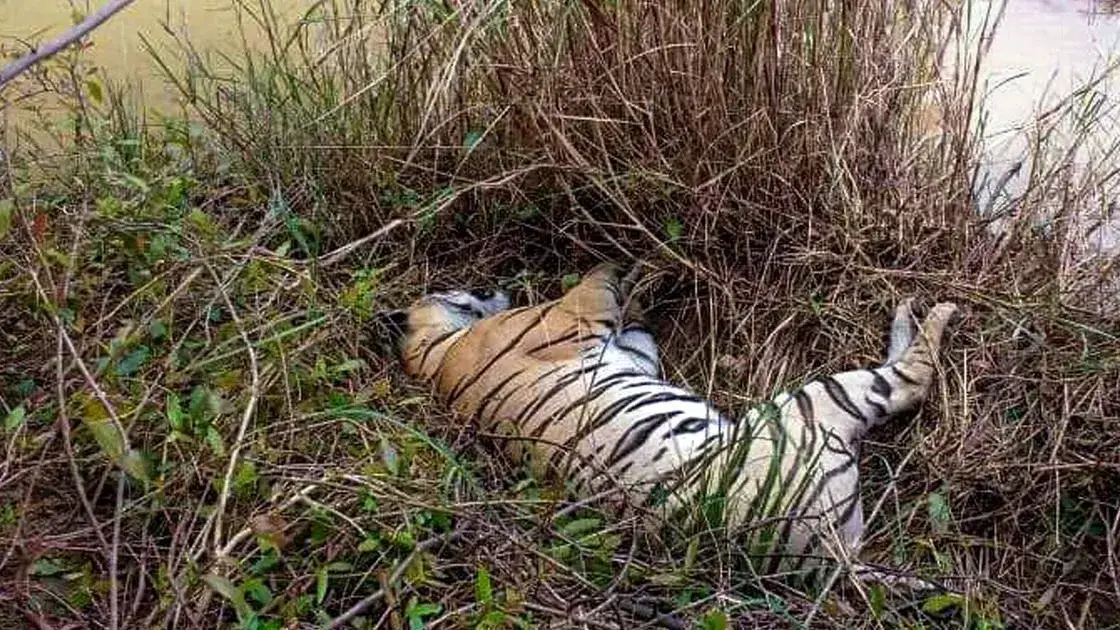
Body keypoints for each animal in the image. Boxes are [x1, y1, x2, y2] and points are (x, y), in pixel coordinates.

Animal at [377, 263, 958, 587]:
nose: (494, 286)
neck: (434, 358)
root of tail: (834, 560)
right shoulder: (569, 316)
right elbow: (596, 281)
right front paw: (639, 265)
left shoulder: (628, 351)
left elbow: (635, 331)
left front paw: (646, 294)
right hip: (809, 406)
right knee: (911, 378)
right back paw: (935, 310)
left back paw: (909, 307)